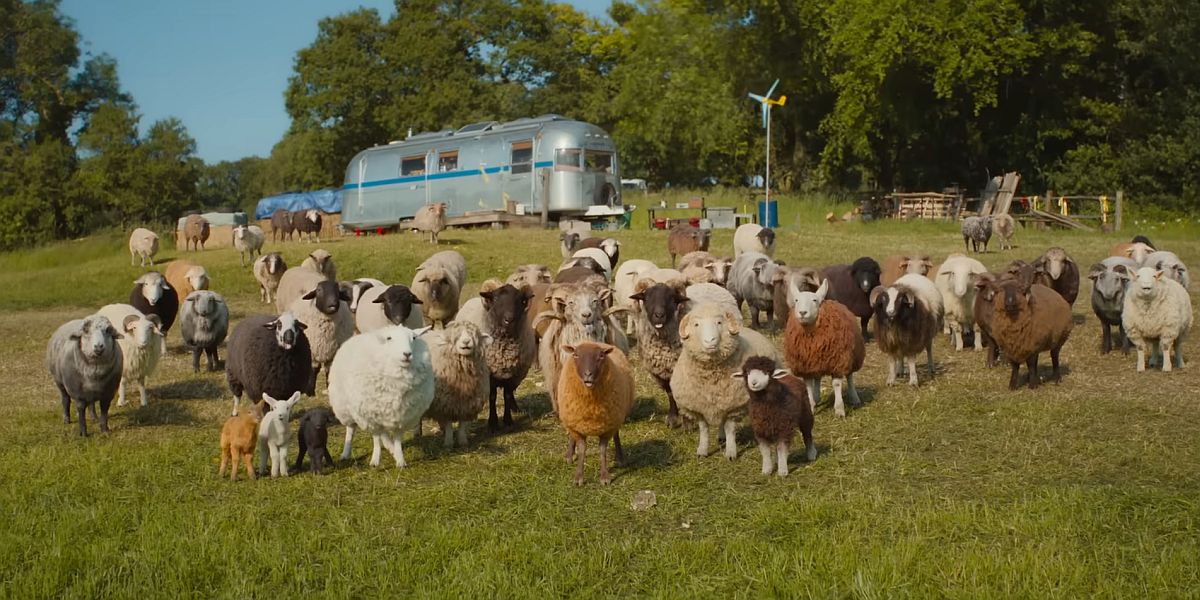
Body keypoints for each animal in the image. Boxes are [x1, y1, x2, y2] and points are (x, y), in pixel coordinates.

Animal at [329, 325, 435, 468]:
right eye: (389, 338)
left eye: (414, 338)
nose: (407, 354)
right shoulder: (370, 416)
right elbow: (375, 439)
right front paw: (375, 460)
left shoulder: (401, 416)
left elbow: (397, 438)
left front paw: (400, 460)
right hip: (344, 406)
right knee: (351, 429)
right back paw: (346, 453)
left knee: (383, 433)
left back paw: (391, 448)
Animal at [557, 342, 634, 485]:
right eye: (576, 355)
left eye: (601, 356)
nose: (588, 374)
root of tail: (600, 343)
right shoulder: (576, 425)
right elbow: (582, 450)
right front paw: (578, 477)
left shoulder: (607, 427)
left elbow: (602, 450)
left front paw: (604, 477)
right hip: (572, 418)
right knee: (571, 436)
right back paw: (569, 456)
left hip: (616, 416)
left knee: (616, 435)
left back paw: (620, 458)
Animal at [629, 279, 688, 427]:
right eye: (646, 297)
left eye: (672, 298)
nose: (659, 316)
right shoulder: (663, 371)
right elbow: (670, 393)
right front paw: (672, 419)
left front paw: (687, 422)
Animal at [671, 302, 780, 458]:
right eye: (696, 324)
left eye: (719, 322)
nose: (710, 341)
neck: (711, 375)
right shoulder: (699, 405)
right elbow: (704, 429)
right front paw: (702, 450)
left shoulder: (734, 405)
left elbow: (730, 429)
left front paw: (731, 452)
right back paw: (721, 437)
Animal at [783, 278, 866, 417]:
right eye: (796, 300)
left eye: (814, 300)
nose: (802, 313)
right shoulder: (805, 365)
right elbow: (808, 386)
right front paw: (811, 406)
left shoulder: (838, 360)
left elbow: (836, 384)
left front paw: (839, 410)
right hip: (818, 361)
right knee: (817, 378)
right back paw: (816, 398)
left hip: (852, 356)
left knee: (849, 376)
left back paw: (854, 398)